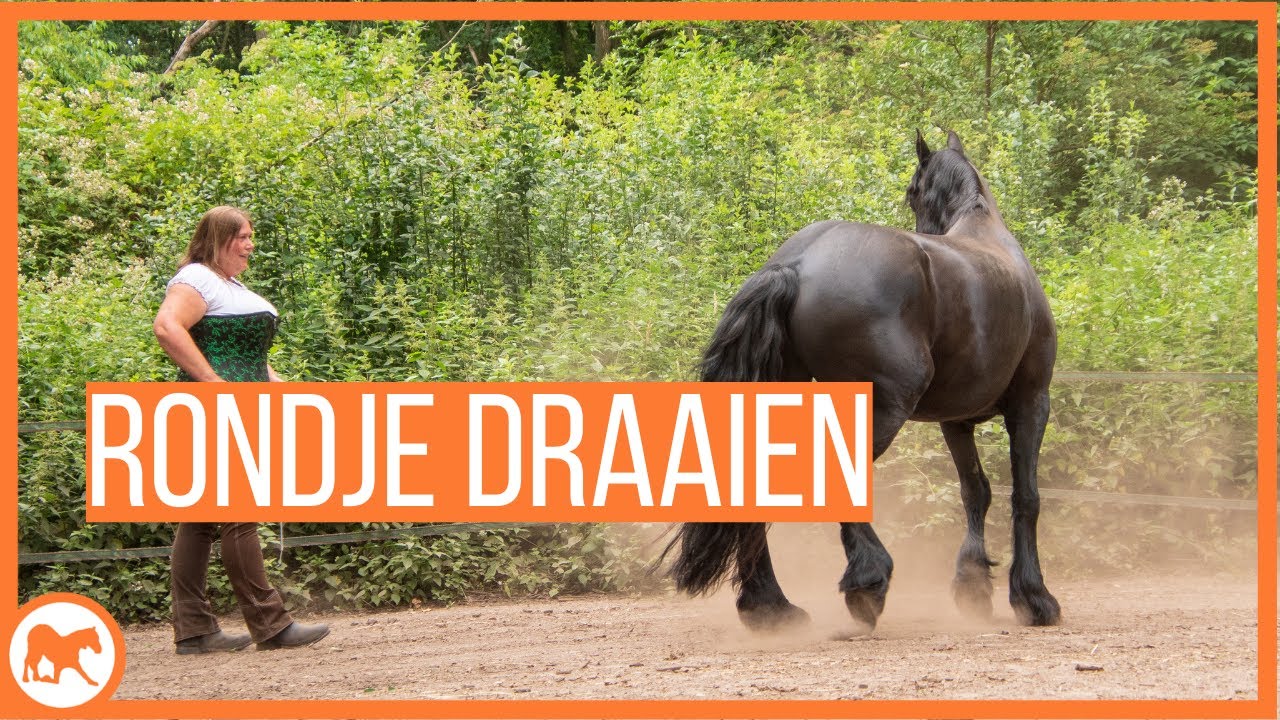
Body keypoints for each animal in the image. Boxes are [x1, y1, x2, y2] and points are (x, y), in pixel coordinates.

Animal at [662, 130, 1061, 633]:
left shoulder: (956, 421)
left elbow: (977, 492)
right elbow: (1026, 497)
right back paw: (867, 581)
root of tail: (797, 263)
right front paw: (1033, 596)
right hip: (882, 411)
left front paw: (972, 589)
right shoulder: (1031, 403)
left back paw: (770, 606)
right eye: (913, 192)